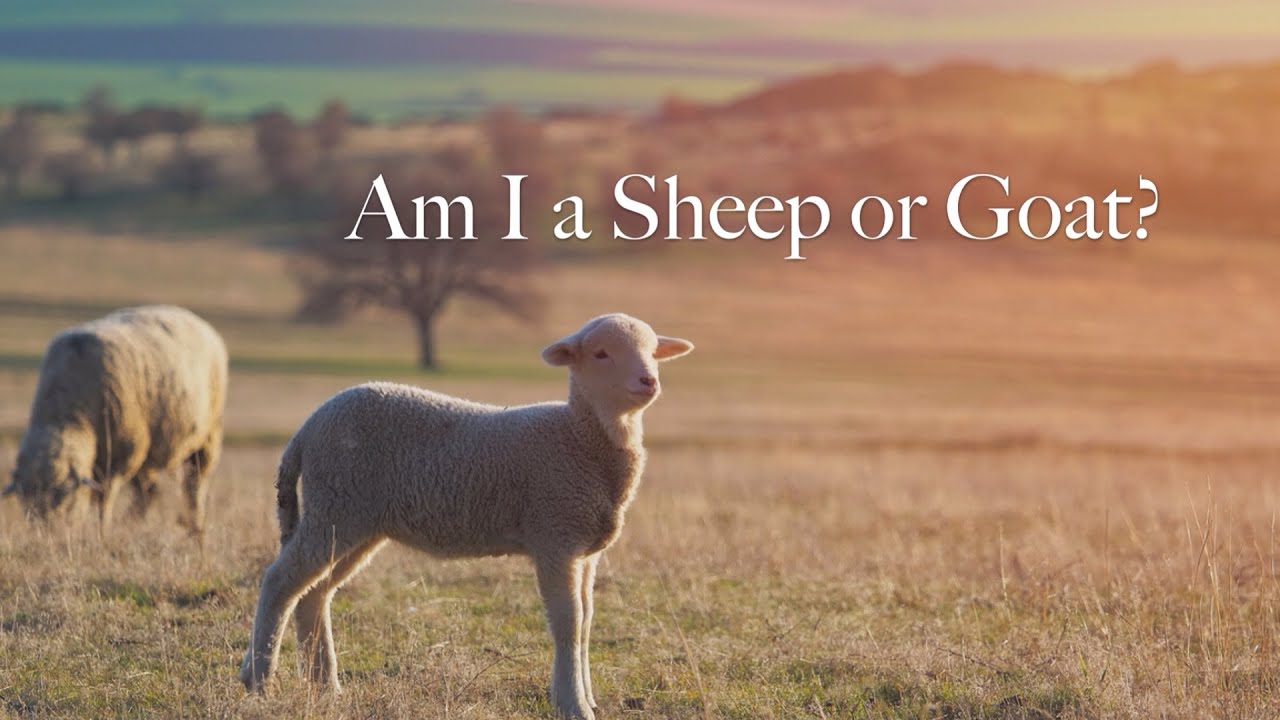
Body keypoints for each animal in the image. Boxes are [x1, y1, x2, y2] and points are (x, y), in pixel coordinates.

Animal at [3, 305, 228, 538]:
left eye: (66, 498)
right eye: (25, 504)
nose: (50, 534)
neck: (66, 415)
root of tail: (194, 318)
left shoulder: (120, 456)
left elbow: (105, 497)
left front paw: (102, 528)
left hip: (209, 435)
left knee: (194, 485)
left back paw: (195, 525)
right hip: (149, 452)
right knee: (149, 492)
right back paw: (133, 522)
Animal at [238, 313, 694, 720]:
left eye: (653, 351)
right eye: (601, 354)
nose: (649, 381)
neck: (579, 437)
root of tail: (307, 428)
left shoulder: (584, 549)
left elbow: (586, 624)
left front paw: (588, 697)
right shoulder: (554, 535)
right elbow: (568, 623)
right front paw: (573, 705)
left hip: (354, 520)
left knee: (314, 593)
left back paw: (325, 686)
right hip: (336, 505)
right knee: (280, 581)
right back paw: (260, 680)